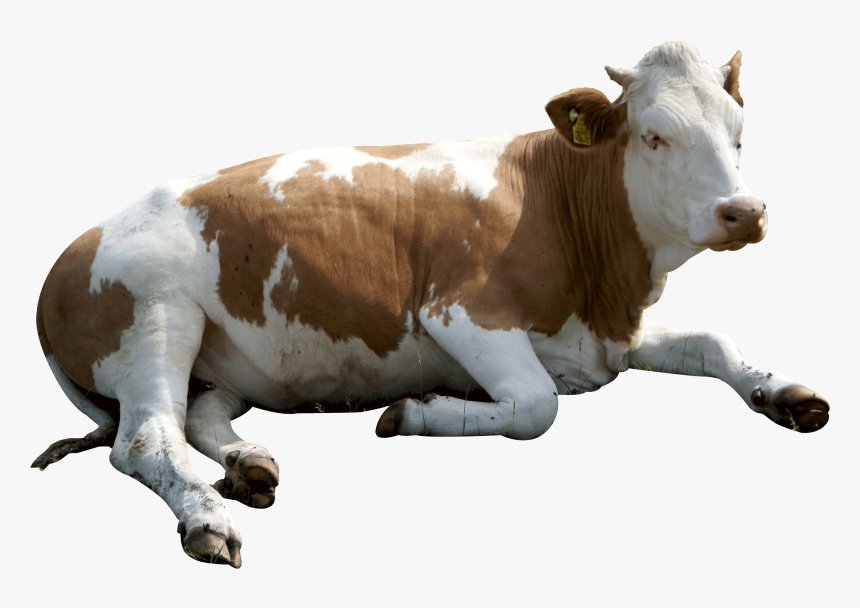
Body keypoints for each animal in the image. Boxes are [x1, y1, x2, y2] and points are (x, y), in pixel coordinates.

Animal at [33, 42, 829, 568]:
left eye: (739, 134)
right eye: (656, 136)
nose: (745, 212)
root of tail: (71, 253)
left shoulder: (605, 333)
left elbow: (715, 342)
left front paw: (788, 394)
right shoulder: (460, 312)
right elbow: (538, 406)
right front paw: (416, 411)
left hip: (219, 360)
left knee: (198, 416)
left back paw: (249, 465)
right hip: (155, 315)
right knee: (144, 440)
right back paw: (206, 516)